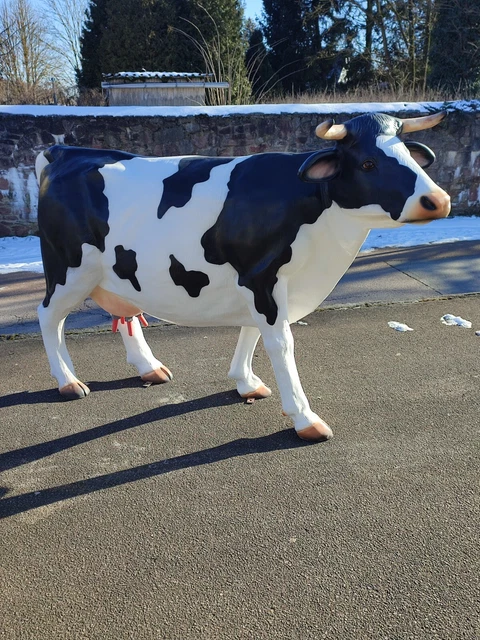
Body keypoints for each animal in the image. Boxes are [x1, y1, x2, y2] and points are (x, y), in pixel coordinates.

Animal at [35, 111, 451, 442]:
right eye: (367, 163)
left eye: (410, 157)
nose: (438, 201)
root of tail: (64, 151)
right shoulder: (261, 275)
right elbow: (280, 342)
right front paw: (304, 417)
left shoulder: (260, 280)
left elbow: (252, 330)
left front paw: (246, 383)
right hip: (68, 268)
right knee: (49, 316)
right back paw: (68, 381)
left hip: (117, 271)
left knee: (124, 313)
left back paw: (149, 368)